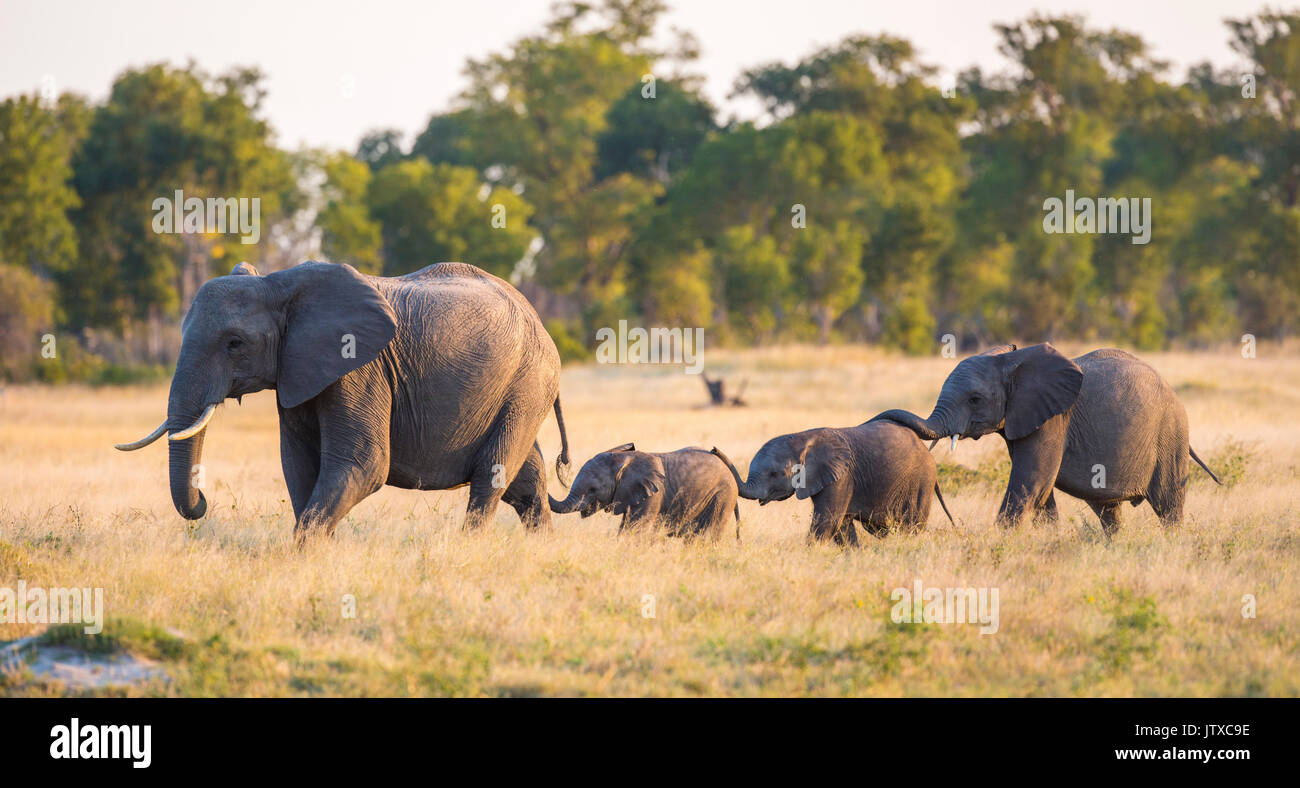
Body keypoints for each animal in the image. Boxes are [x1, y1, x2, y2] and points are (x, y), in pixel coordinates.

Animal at [116, 260, 571, 541]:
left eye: (234, 343)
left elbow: (363, 464)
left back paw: (468, 548)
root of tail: (539, 321)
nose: (204, 503)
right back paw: (540, 551)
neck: (277, 284)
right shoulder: (296, 370)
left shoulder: (360, 368)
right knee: (526, 481)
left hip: (527, 383)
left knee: (491, 477)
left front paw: (304, 555)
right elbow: (299, 464)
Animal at [549, 444, 740, 540]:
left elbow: (635, 528)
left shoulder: (653, 494)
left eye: (593, 489)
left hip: (722, 496)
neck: (624, 459)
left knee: (706, 535)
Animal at [710, 421, 953, 546]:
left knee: (912, 525)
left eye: (773, 473)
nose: (713, 449)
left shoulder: (842, 476)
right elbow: (842, 526)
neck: (801, 437)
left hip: (921, 481)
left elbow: (827, 521)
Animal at [870, 343, 1220, 533]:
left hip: (1170, 434)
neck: (1010, 360)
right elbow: (1040, 489)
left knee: (1168, 502)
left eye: (974, 399)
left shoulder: (1054, 419)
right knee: (1108, 511)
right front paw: (1047, 538)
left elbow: (1032, 480)